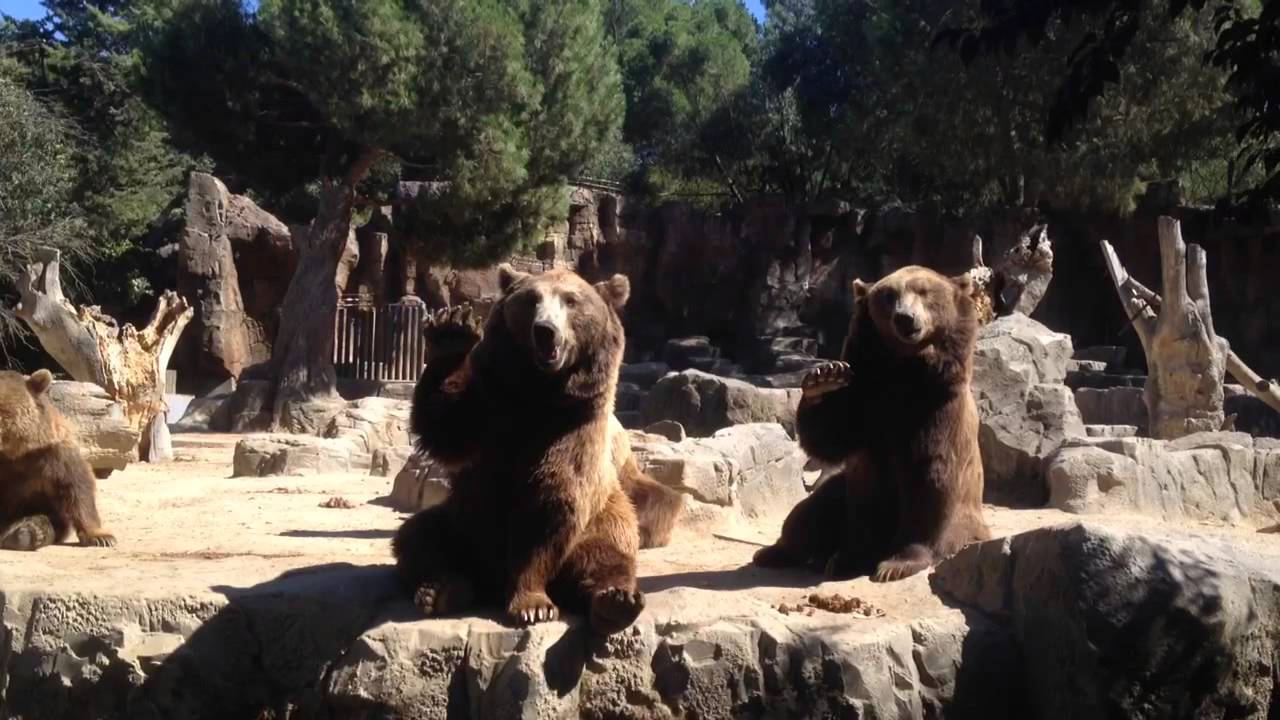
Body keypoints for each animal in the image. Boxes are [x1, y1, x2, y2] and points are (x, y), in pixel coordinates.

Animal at [0, 369, 117, 551]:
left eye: (2, 410)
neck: (12, 451)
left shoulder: (54, 456)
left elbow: (78, 489)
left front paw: (101, 537)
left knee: (40, 521)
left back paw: (25, 535)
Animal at [392, 265, 680, 634]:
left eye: (571, 300)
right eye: (531, 299)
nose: (545, 331)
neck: (537, 395)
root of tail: (487, 580)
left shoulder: (572, 432)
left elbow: (550, 507)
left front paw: (532, 605)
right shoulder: (491, 410)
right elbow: (447, 427)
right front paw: (453, 330)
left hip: (607, 518)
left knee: (605, 558)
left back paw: (616, 602)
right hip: (461, 520)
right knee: (421, 539)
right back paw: (441, 589)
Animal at [752, 265, 990, 582]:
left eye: (924, 291)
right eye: (889, 295)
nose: (905, 318)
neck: (900, 374)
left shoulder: (936, 408)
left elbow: (930, 481)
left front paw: (896, 564)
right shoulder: (865, 400)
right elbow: (832, 437)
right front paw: (824, 378)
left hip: (967, 523)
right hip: (838, 491)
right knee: (809, 513)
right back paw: (777, 552)